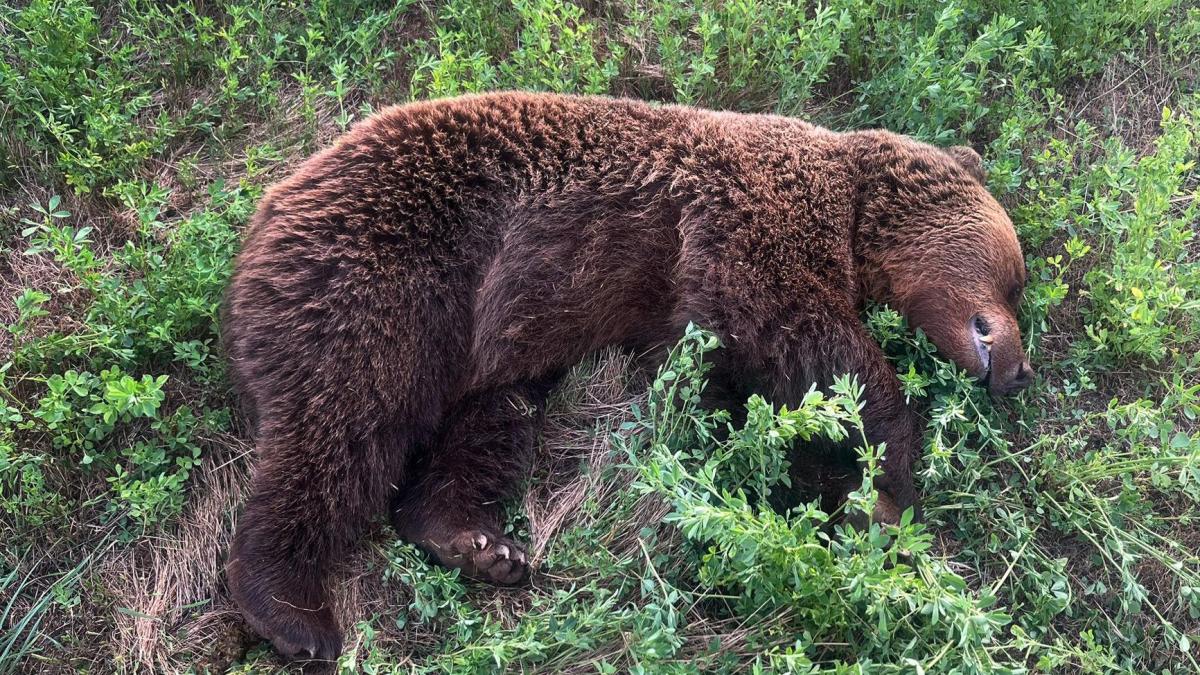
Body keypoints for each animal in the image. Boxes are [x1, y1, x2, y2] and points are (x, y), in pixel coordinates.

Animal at [221, 91, 1033, 661]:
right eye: (1019, 281)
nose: (1020, 371)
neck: (851, 211)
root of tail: (264, 218)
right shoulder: (753, 227)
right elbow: (813, 345)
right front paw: (891, 486)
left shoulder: (684, 310)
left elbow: (736, 394)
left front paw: (834, 498)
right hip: (388, 274)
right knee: (343, 422)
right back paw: (292, 611)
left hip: (496, 347)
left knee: (485, 426)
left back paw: (479, 544)